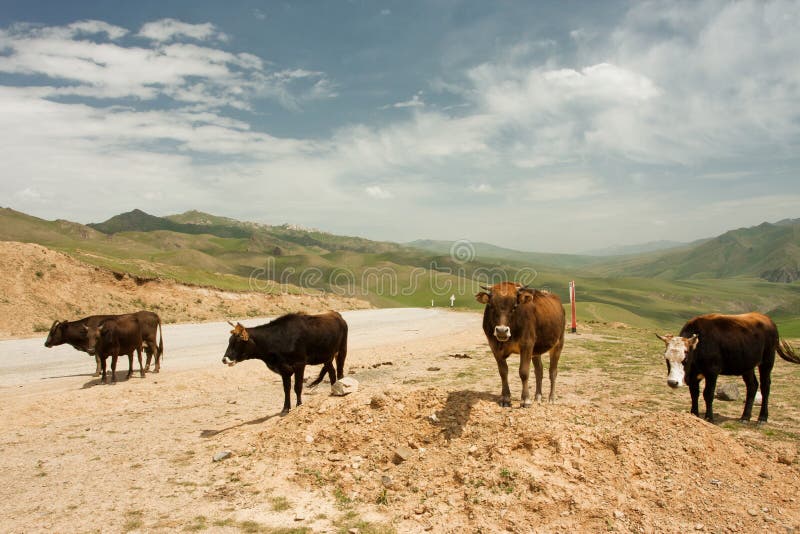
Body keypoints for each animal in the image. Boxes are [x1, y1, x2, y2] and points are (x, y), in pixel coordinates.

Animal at [656, 312, 800, 424]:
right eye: (667, 359)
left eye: (685, 359)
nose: (672, 382)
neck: (699, 346)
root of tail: (769, 321)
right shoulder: (693, 375)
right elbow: (694, 394)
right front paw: (694, 414)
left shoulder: (712, 372)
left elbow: (708, 394)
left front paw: (709, 418)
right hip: (747, 366)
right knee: (752, 385)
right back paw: (745, 417)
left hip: (767, 361)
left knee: (765, 386)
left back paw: (762, 418)